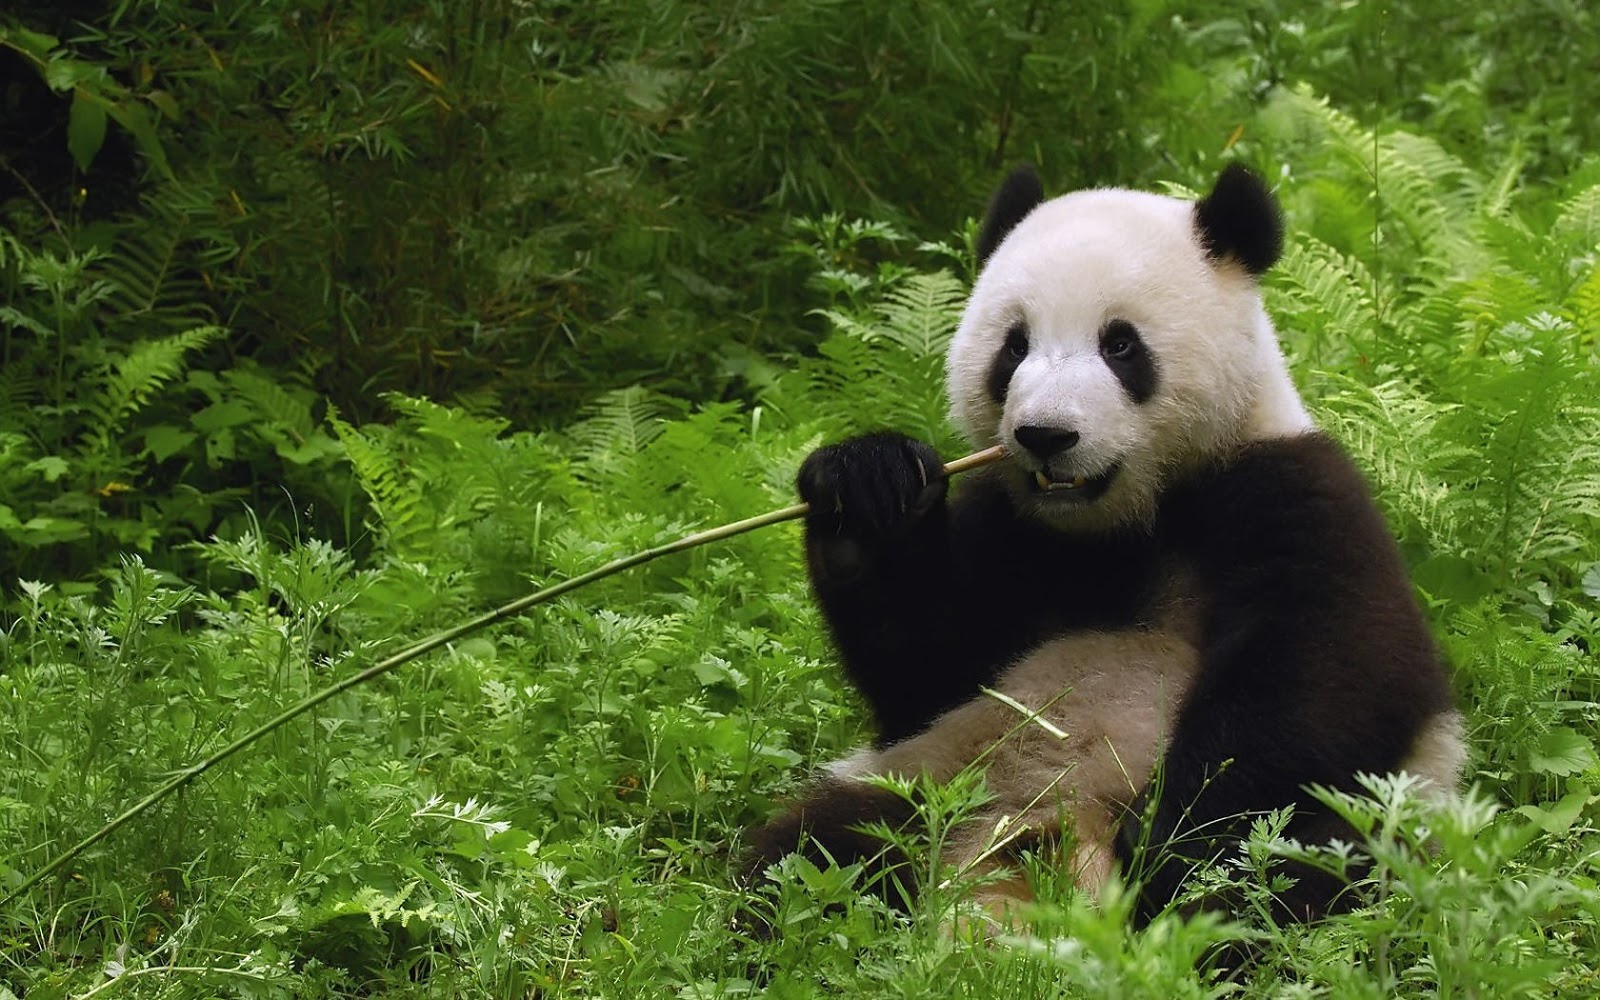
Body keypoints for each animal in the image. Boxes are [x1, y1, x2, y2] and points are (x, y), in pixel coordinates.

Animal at [743, 163, 1465, 928]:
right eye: (1014, 346)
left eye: (1120, 345)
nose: (1045, 435)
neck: (1120, 522)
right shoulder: (1009, 529)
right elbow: (925, 670)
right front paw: (868, 488)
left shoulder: (1292, 494)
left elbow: (1328, 679)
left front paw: (1166, 840)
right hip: (936, 776)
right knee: (816, 852)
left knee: (1289, 867)